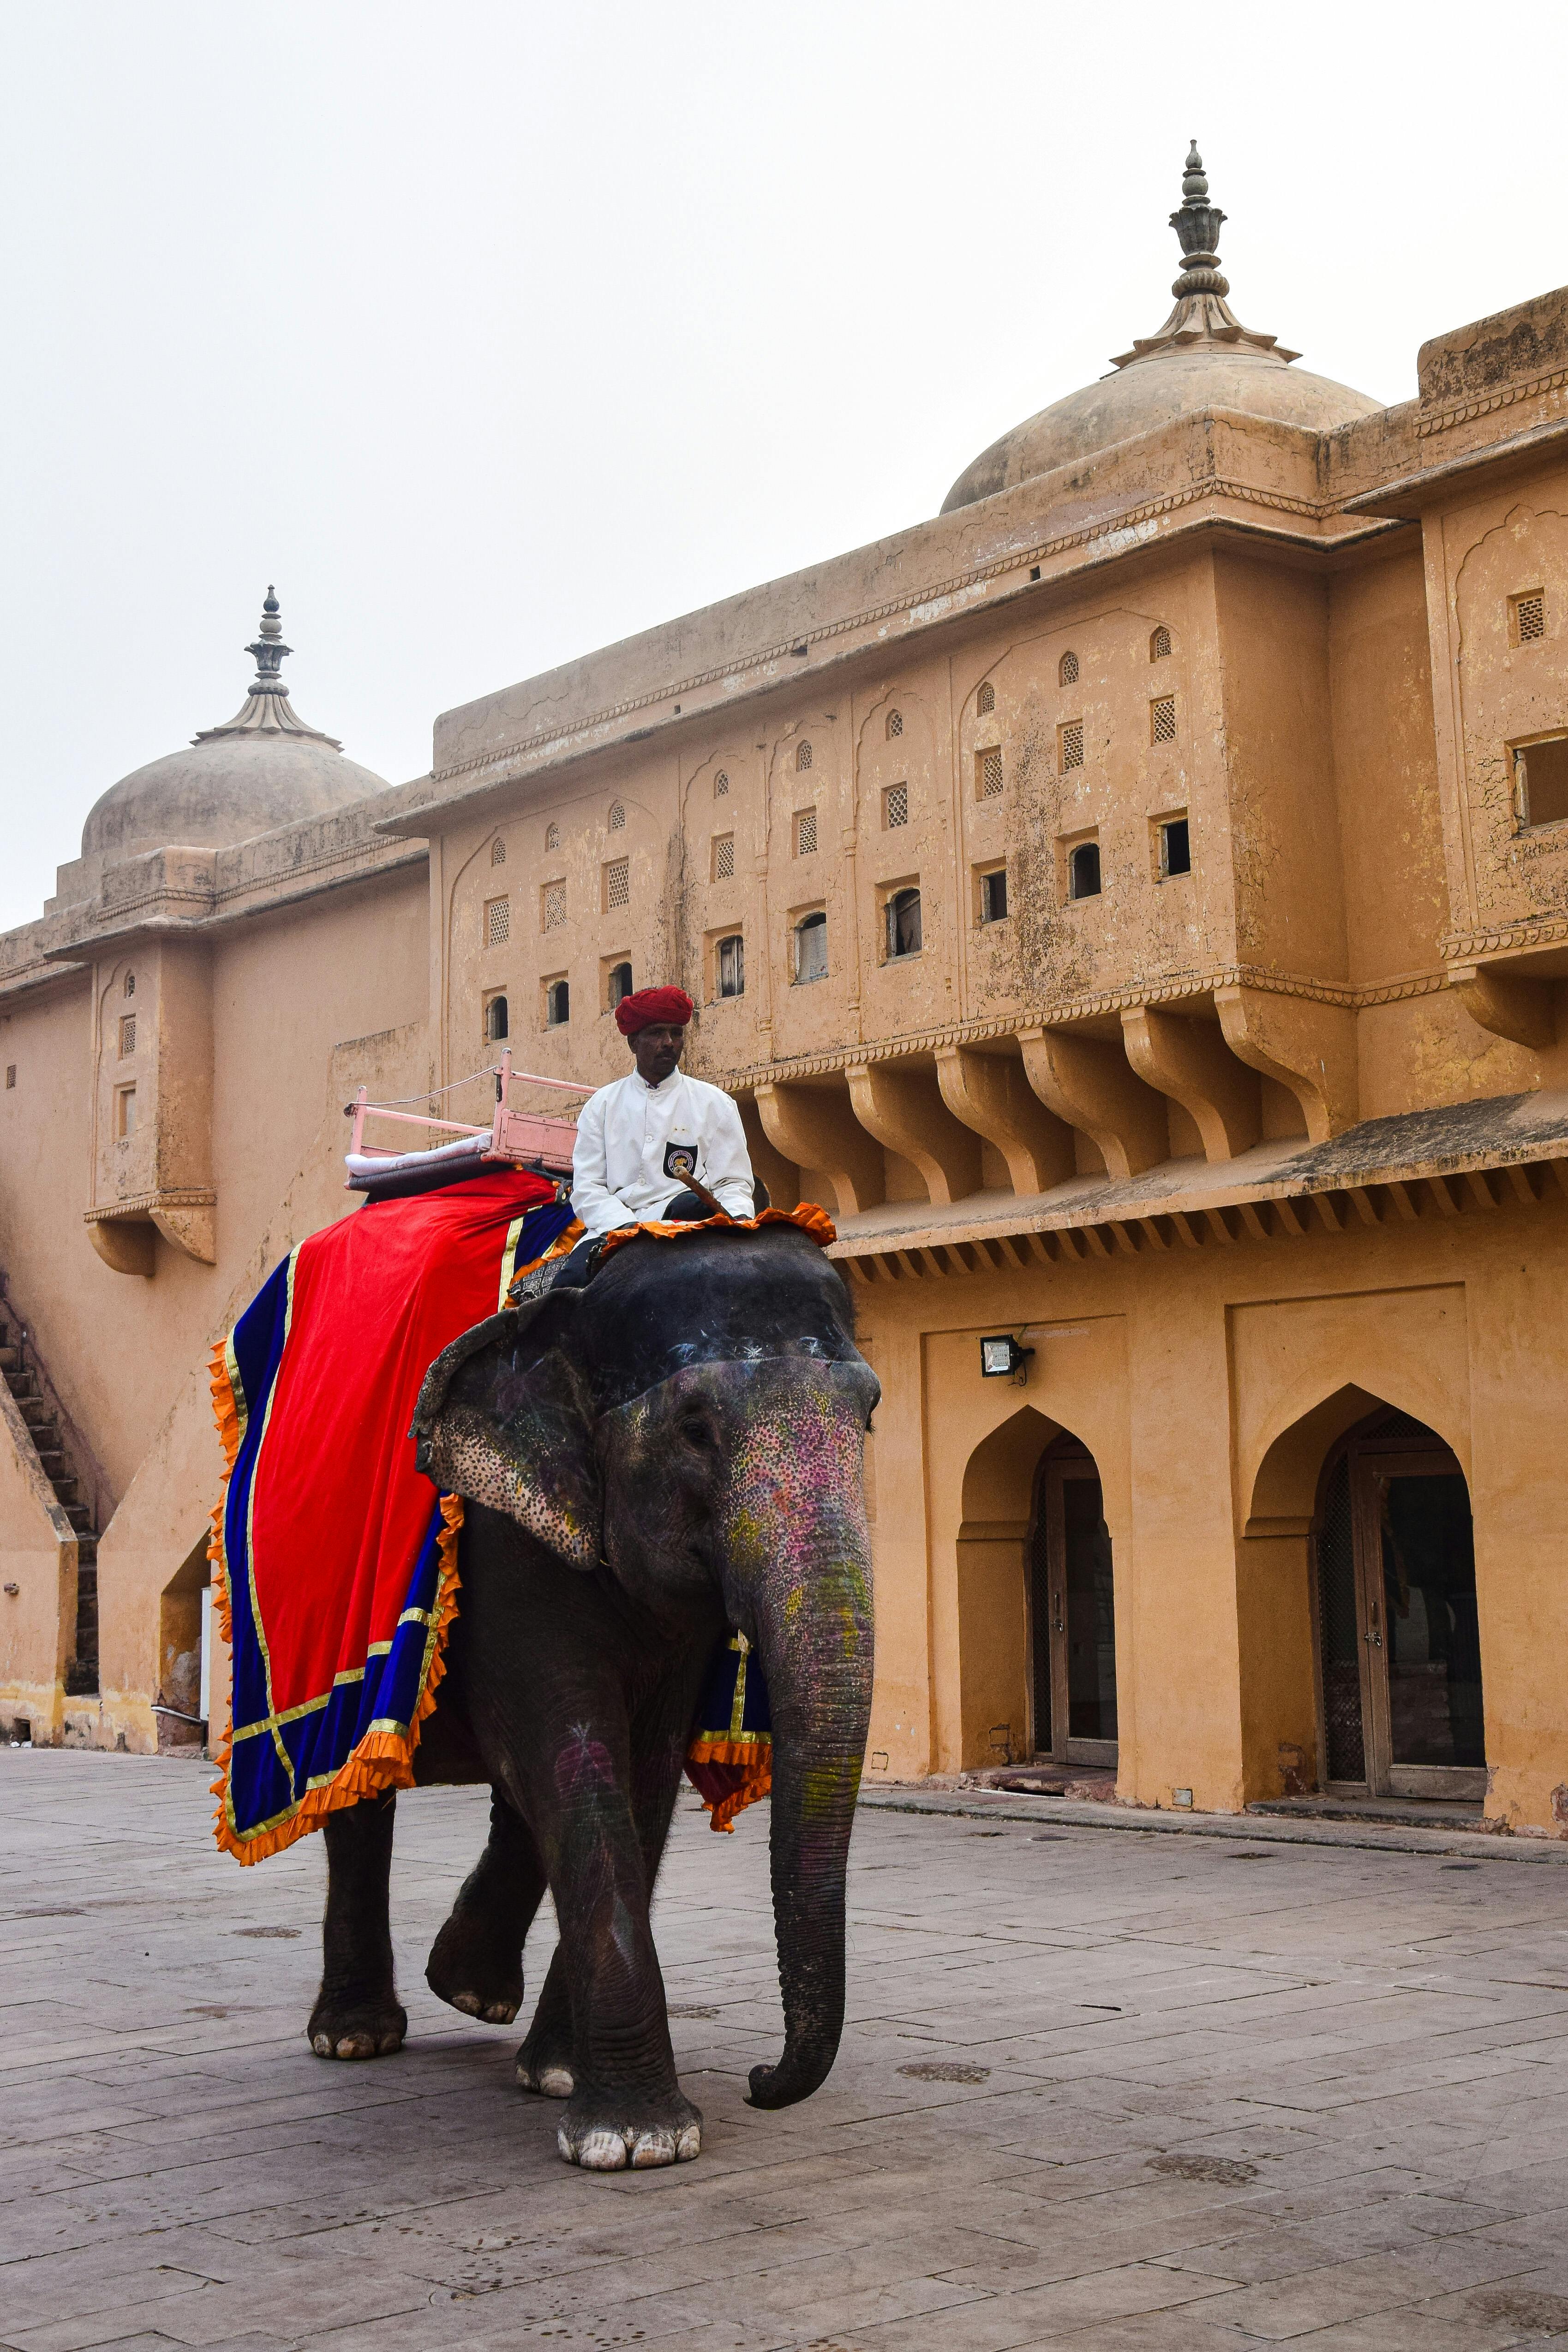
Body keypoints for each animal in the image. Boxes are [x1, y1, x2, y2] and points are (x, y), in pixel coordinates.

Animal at [303, 1219, 878, 2172]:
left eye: (868, 1412)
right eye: (694, 1427)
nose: (761, 2079)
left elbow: (641, 1768)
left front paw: (573, 2085)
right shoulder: (506, 1539)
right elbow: (572, 1745)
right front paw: (638, 2138)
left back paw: (472, 1993)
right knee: (360, 1793)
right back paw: (354, 2036)